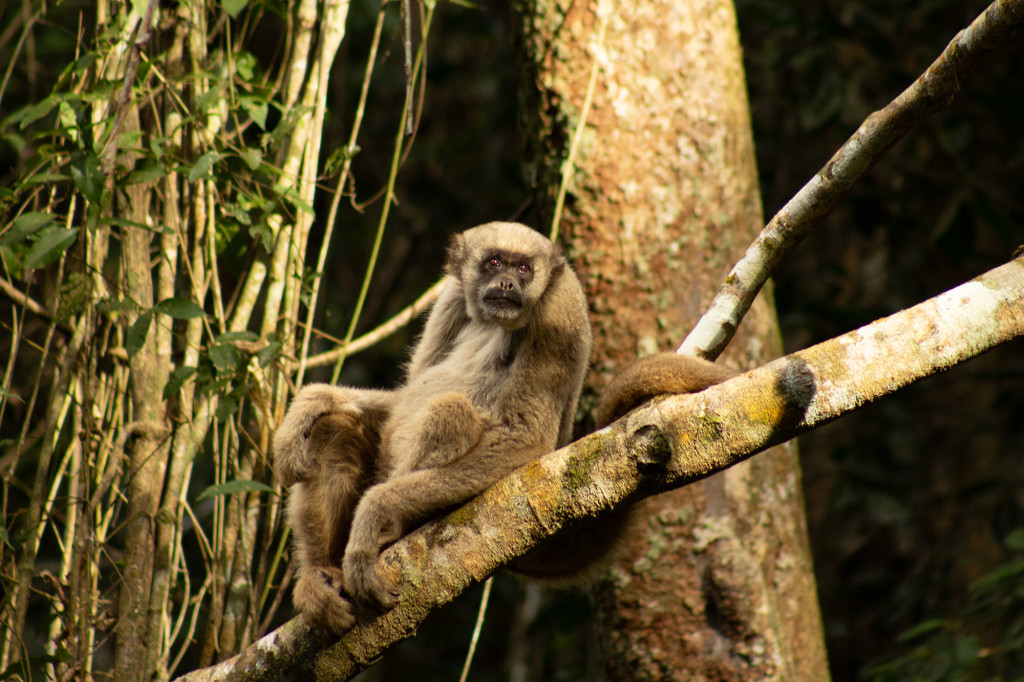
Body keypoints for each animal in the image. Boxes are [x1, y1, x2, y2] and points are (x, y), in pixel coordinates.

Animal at [273, 221, 736, 632]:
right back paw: (318, 574)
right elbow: (407, 391)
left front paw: (377, 511)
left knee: (450, 410)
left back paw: (393, 532)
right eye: (494, 262)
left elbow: (525, 441)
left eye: (523, 269)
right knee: (335, 436)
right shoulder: (451, 297)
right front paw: (314, 400)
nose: (508, 284)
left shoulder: (558, 310)